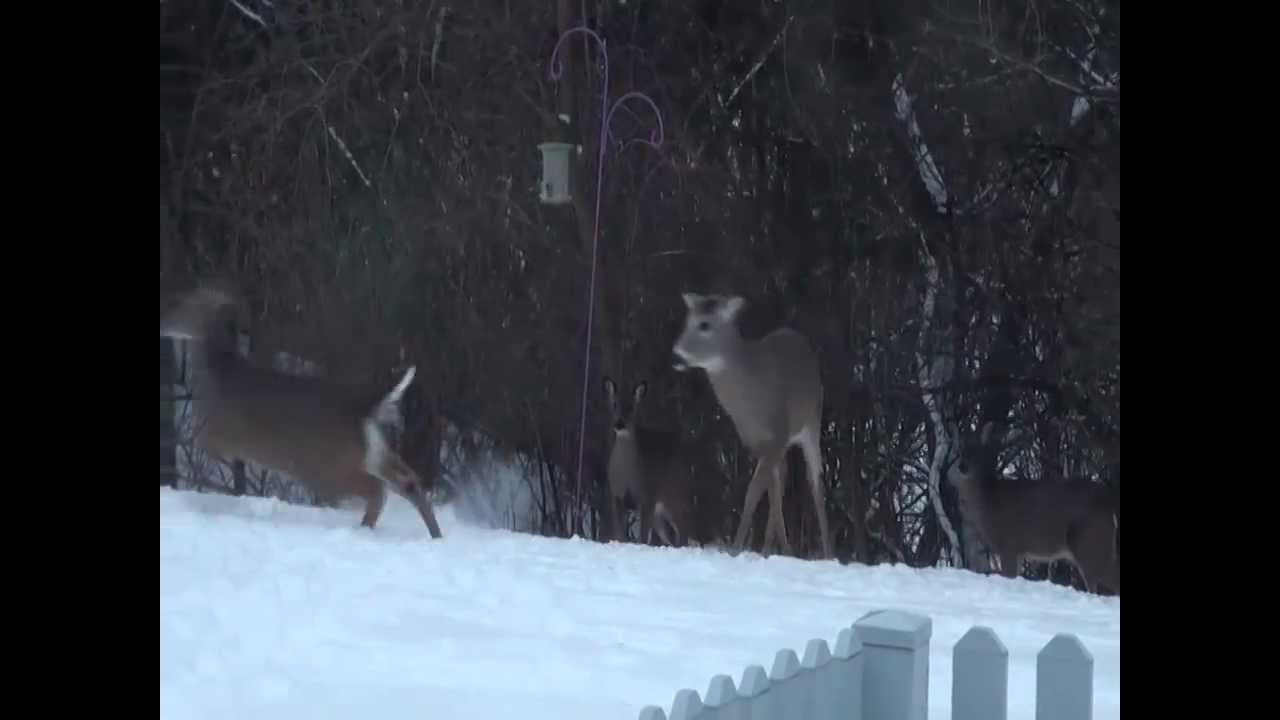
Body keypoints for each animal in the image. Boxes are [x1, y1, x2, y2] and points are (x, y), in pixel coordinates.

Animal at [159, 282, 443, 539]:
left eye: (185, 305)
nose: (164, 323)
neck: (218, 372)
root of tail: (366, 407)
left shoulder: (216, 435)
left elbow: (192, 447)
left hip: (330, 467)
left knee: (378, 489)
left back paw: (363, 530)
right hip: (374, 452)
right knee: (408, 480)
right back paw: (434, 534)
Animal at [602, 376, 698, 548]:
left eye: (631, 406)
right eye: (614, 404)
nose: (619, 424)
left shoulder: (647, 495)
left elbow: (642, 536)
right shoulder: (617, 495)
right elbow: (620, 534)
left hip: (677, 495)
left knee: (683, 531)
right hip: (661, 511)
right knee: (670, 537)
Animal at [671, 293, 834, 560]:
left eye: (705, 325)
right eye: (687, 321)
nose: (676, 356)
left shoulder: (778, 432)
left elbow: (754, 491)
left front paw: (736, 547)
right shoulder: (755, 441)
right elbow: (768, 490)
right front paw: (771, 547)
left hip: (812, 420)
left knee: (815, 480)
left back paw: (829, 552)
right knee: (783, 477)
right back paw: (774, 546)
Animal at [946, 422, 1119, 595]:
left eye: (976, 449)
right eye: (960, 450)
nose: (962, 467)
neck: (988, 502)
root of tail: (1109, 501)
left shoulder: (1008, 544)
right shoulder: (1017, 551)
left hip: (1089, 542)